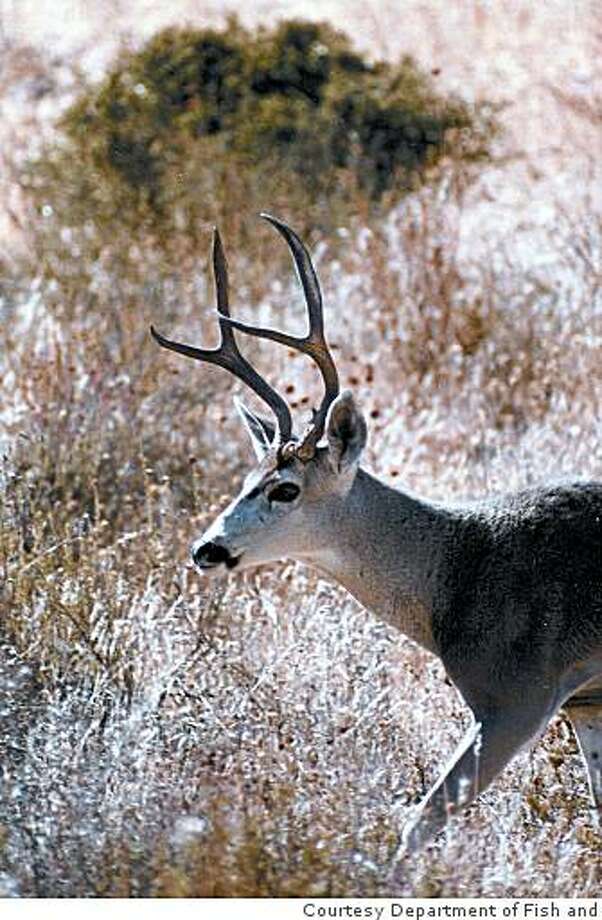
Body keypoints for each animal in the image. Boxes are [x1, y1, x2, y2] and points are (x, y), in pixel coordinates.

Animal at [151, 214, 602, 853]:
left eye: (285, 488)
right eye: (246, 478)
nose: (205, 548)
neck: (456, 575)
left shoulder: (519, 691)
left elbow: (418, 824)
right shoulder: (586, 705)